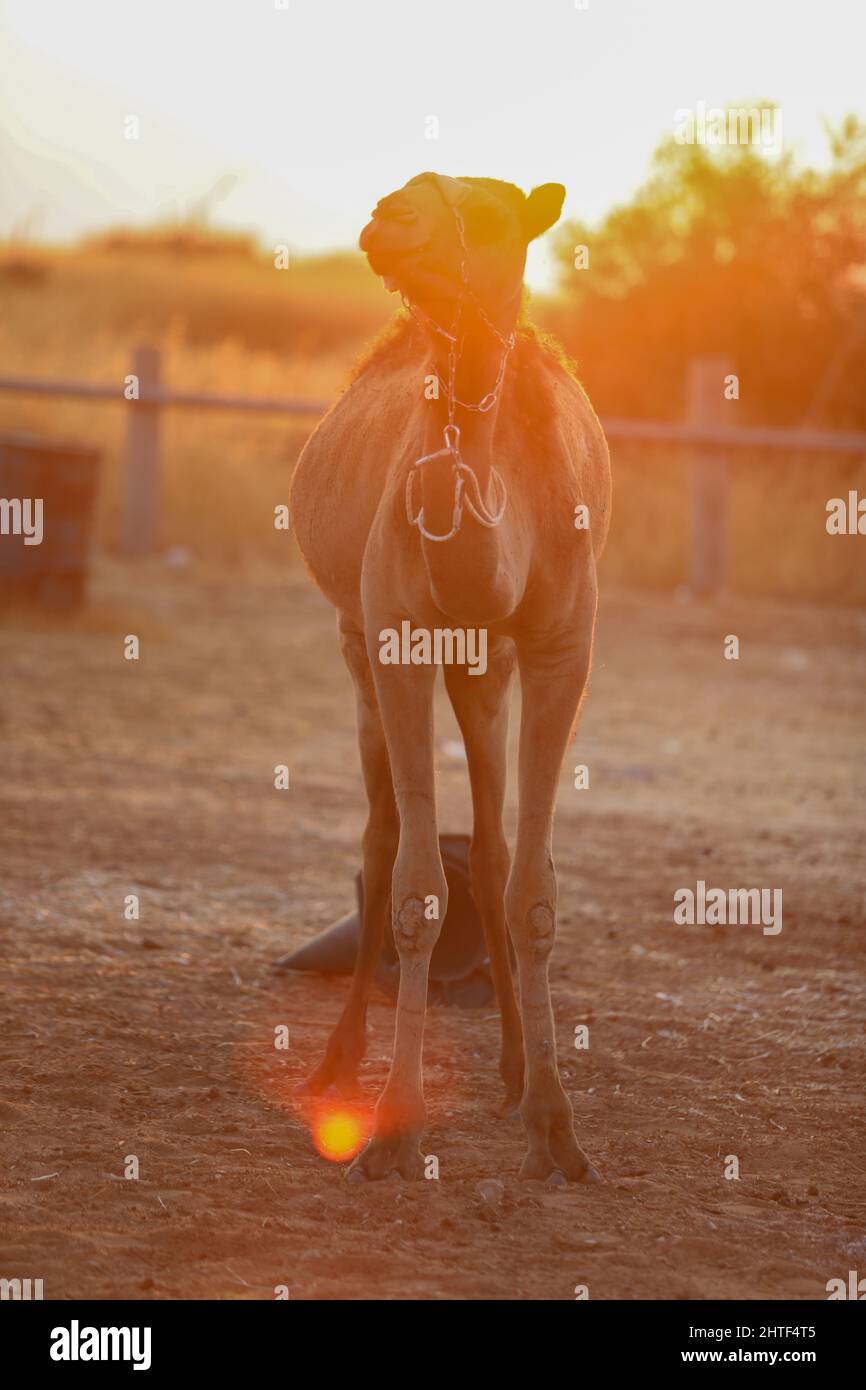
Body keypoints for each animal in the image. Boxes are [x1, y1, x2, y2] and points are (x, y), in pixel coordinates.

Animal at [290, 172, 611, 1182]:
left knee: (494, 845)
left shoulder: (558, 644)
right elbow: (416, 884)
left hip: (483, 665)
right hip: (357, 642)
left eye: (498, 210)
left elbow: (530, 885)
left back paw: (509, 1066)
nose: (389, 216)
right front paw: (394, 1127)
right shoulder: (394, 632)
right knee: (381, 832)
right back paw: (339, 1059)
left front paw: (554, 1124)